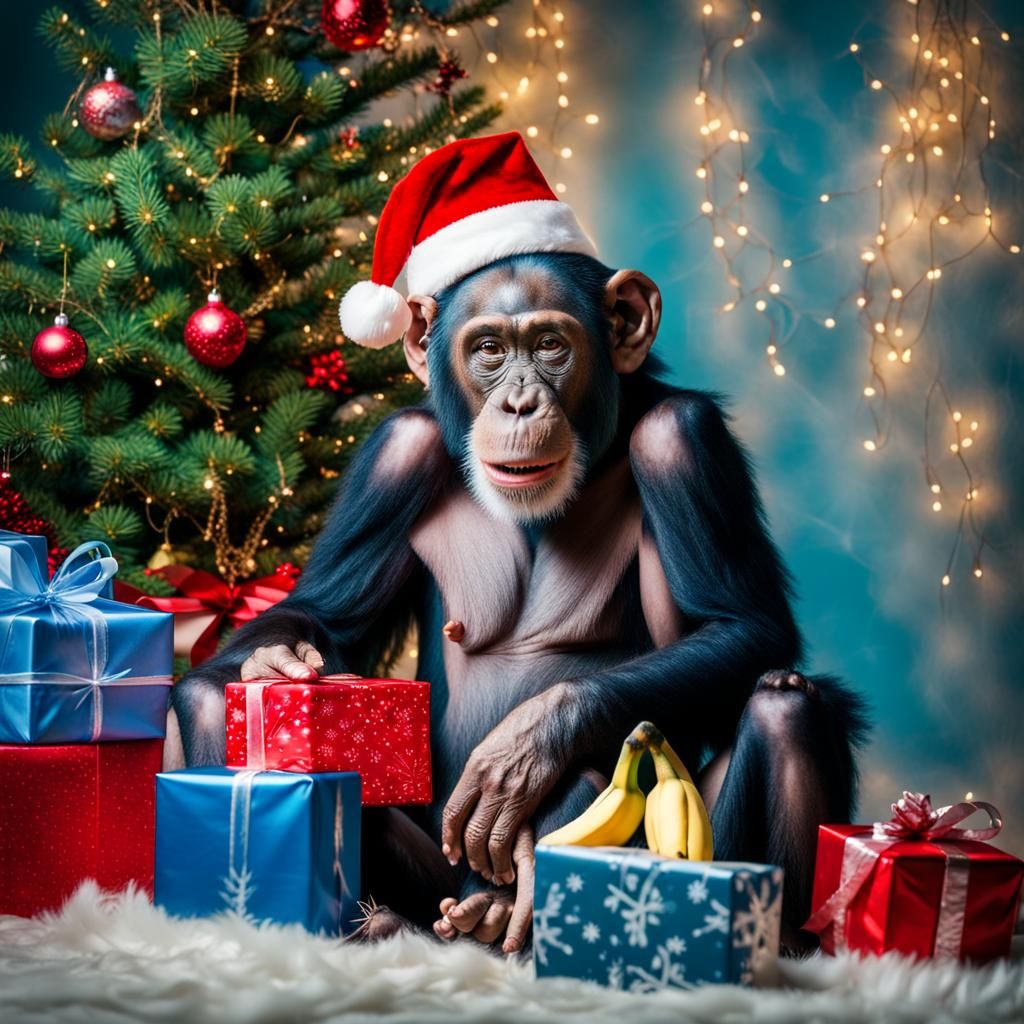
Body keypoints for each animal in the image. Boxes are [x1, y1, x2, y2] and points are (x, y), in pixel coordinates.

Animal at [166, 250, 869, 952]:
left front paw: (525, 750)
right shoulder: (394, 453)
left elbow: (742, 625)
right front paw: (275, 664)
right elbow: (324, 613)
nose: (520, 402)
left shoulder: (684, 440)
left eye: (551, 344)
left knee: (784, 705)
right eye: (489, 349)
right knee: (204, 694)